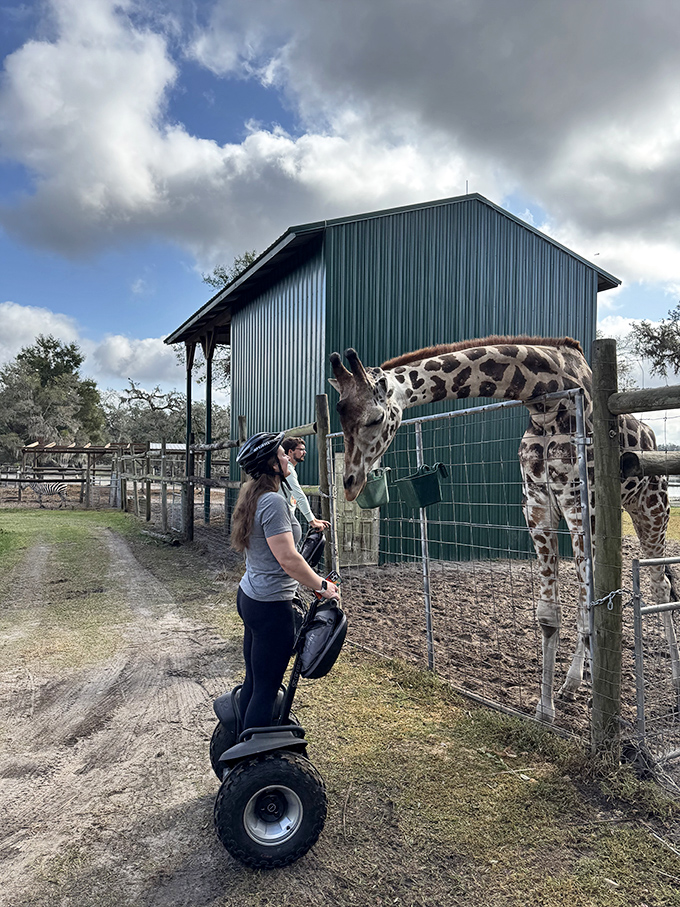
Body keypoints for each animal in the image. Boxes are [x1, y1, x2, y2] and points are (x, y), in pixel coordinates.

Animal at [329, 335, 680, 723]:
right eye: (341, 416)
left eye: (376, 418)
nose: (350, 483)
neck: (545, 402)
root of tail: (651, 436)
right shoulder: (537, 505)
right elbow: (549, 614)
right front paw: (545, 709)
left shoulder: (579, 504)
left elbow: (589, 605)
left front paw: (571, 706)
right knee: (592, 596)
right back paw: (575, 680)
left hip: (651, 508)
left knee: (659, 586)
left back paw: (672, 682)